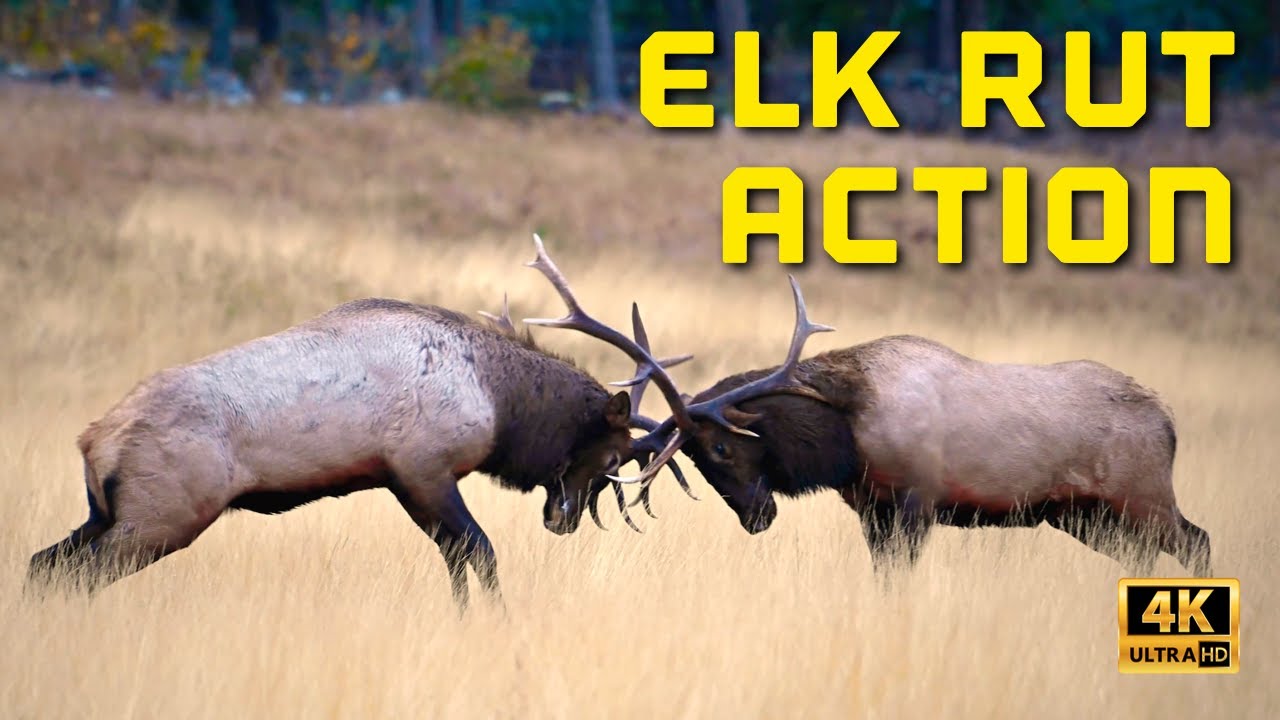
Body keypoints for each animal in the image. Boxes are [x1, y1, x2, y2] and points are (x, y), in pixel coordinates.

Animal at [25, 235, 691, 611]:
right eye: (611, 457)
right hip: (162, 516)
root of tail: (93, 442)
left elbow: (457, 561)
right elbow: (483, 554)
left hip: (106, 514)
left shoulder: (403, 481)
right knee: (77, 574)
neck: (500, 406)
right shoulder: (424, 468)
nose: (564, 520)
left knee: (42, 564)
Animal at [612, 276, 1213, 579]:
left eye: (719, 446)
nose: (756, 517)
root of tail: (1169, 424)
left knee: (1198, 541)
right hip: (1088, 517)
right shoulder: (872, 510)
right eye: (693, 459)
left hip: (1143, 498)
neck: (846, 443)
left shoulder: (915, 502)